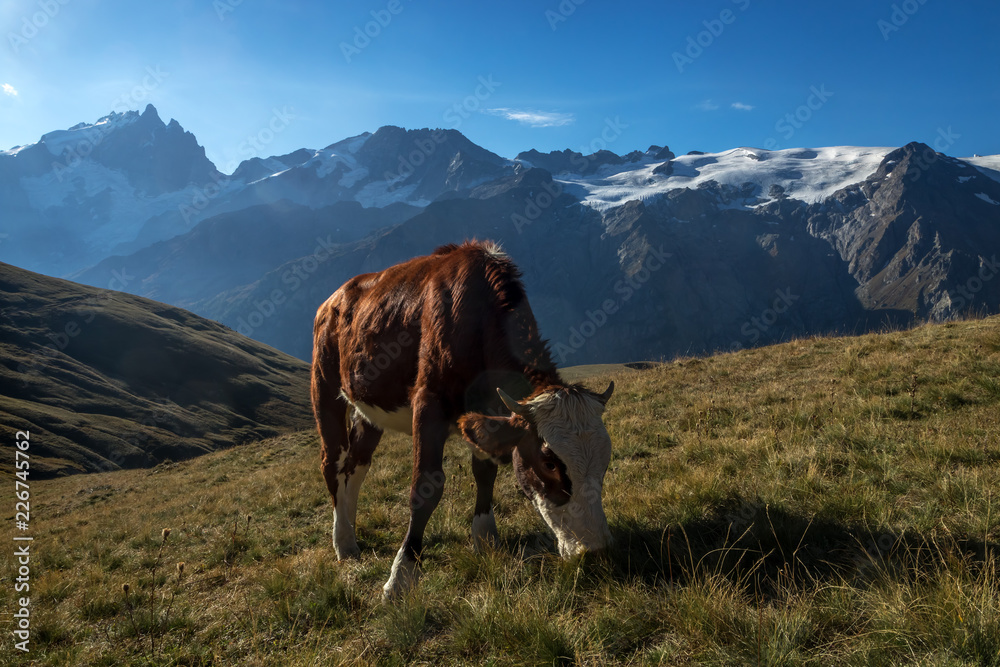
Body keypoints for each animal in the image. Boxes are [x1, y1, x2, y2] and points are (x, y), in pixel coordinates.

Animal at [311, 240, 614, 599]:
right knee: (332, 462)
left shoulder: (487, 410)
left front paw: (485, 538)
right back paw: (343, 542)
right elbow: (425, 487)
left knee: (356, 466)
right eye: (550, 463)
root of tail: (334, 298)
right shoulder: (428, 402)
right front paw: (401, 576)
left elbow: (485, 472)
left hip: (368, 408)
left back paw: (352, 529)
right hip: (325, 386)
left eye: (606, 461)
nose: (595, 550)